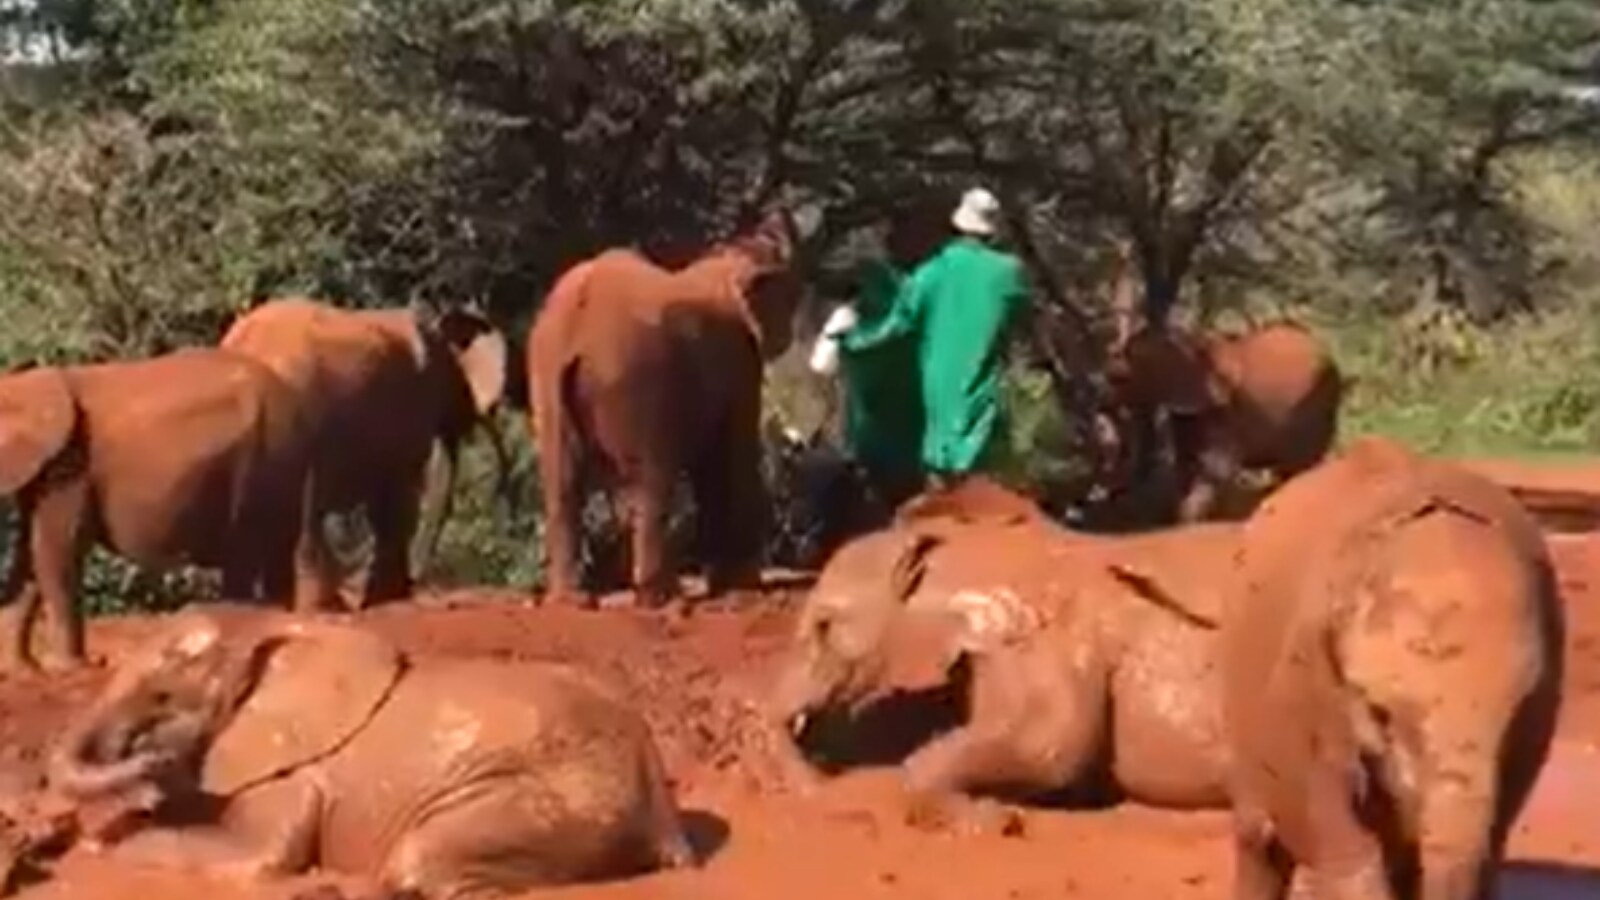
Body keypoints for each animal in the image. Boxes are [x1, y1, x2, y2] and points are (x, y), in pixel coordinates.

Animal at [0, 349, 332, 672]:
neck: (20, 383)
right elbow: (30, 555)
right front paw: (22, 669)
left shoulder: (70, 466)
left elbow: (54, 550)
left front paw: (70, 669)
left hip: (267, 457)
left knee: (246, 553)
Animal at [46, 610, 695, 898]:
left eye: (161, 700)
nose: (150, 762)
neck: (263, 630)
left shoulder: (294, 772)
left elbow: (259, 857)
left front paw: (99, 842)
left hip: (561, 799)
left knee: (420, 862)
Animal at [528, 206, 809, 609]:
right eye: (792, 295)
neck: (723, 264)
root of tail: (578, 322)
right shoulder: (741, 361)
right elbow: (732, 454)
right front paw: (740, 584)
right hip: (636, 376)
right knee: (650, 477)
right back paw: (660, 596)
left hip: (547, 375)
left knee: (562, 482)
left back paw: (574, 601)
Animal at [1103, 320, 1344, 523]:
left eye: (1121, 379)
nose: (1105, 404)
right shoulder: (1189, 413)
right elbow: (1185, 467)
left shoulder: (1225, 411)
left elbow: (1216, 470)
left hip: (1319, 402)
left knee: (1297, 467)